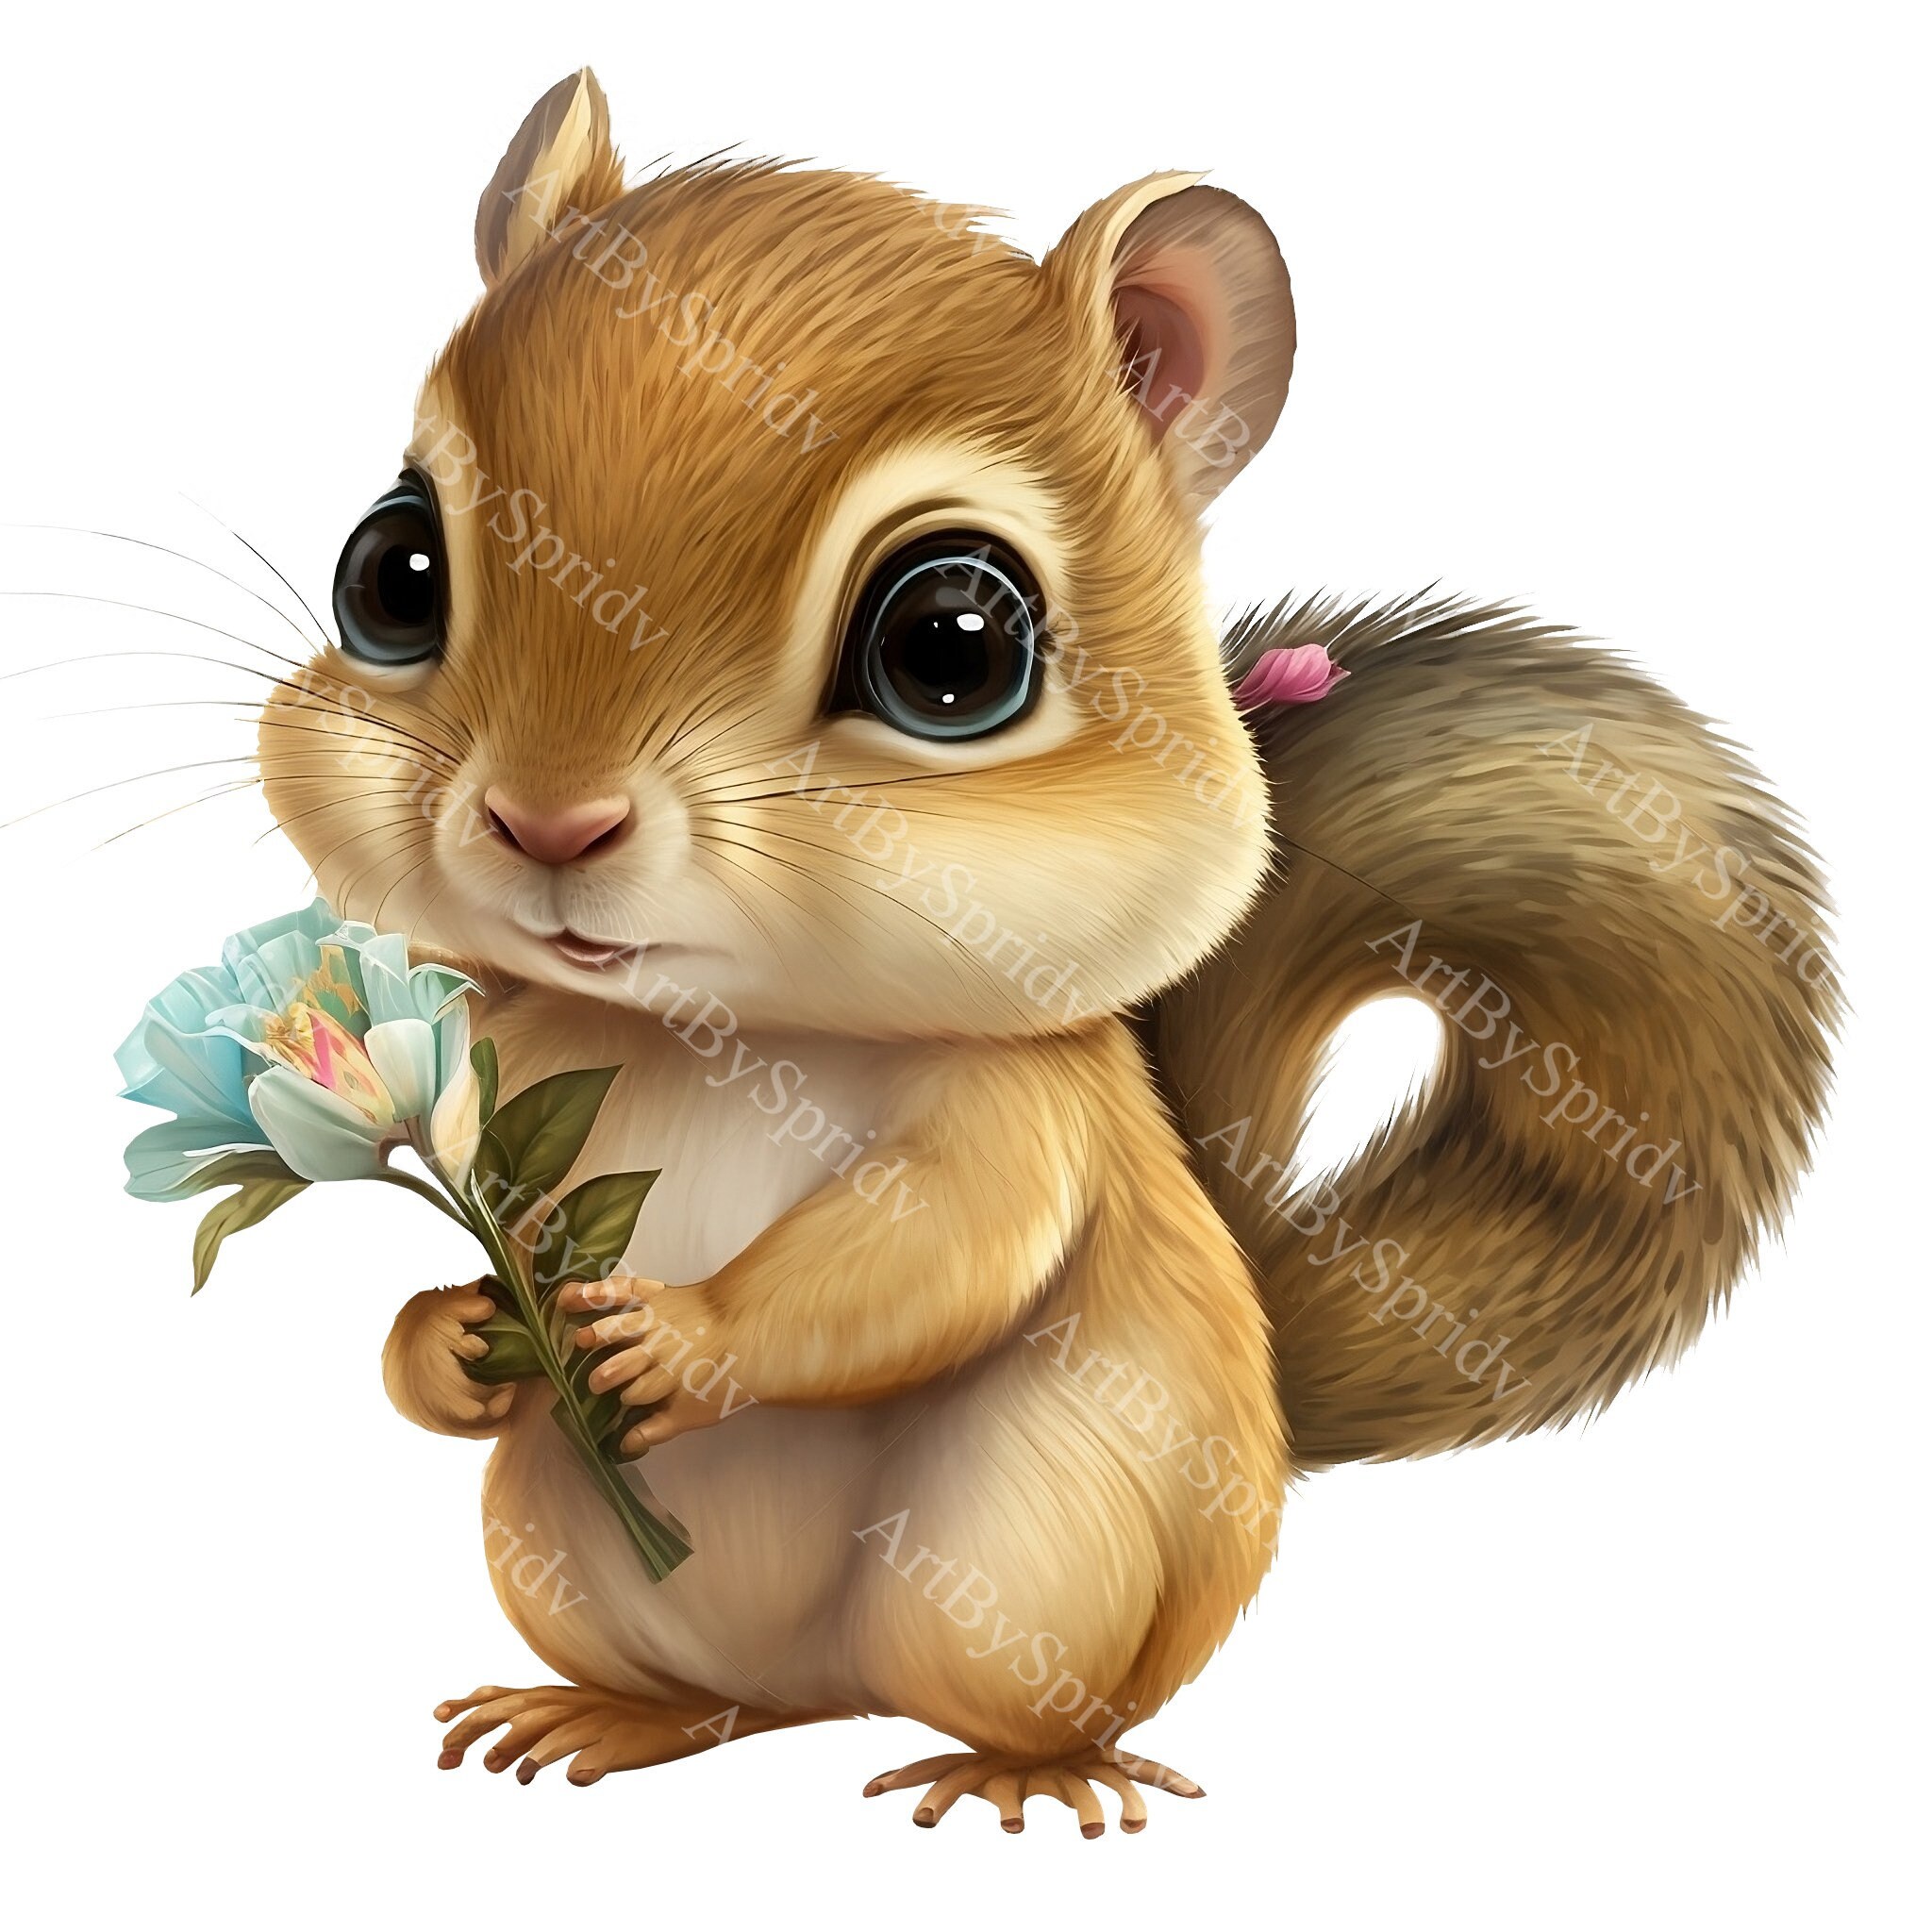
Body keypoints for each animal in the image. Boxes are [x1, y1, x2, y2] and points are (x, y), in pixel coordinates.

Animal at [258, 69, 1838, 1834]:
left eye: (953, 646)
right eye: (390, 567)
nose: (546, 819)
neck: (709, 1026)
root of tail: (823, 1691)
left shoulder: (1026, 1114)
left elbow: (936, 1250)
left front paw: (685, 1334)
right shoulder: (495, 1070)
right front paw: (446, 1339)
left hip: (1027, 1542)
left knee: (1031, 1687)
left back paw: (1023, 1767)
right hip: (560, 1546)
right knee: (708, 1699)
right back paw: (612, 1712)